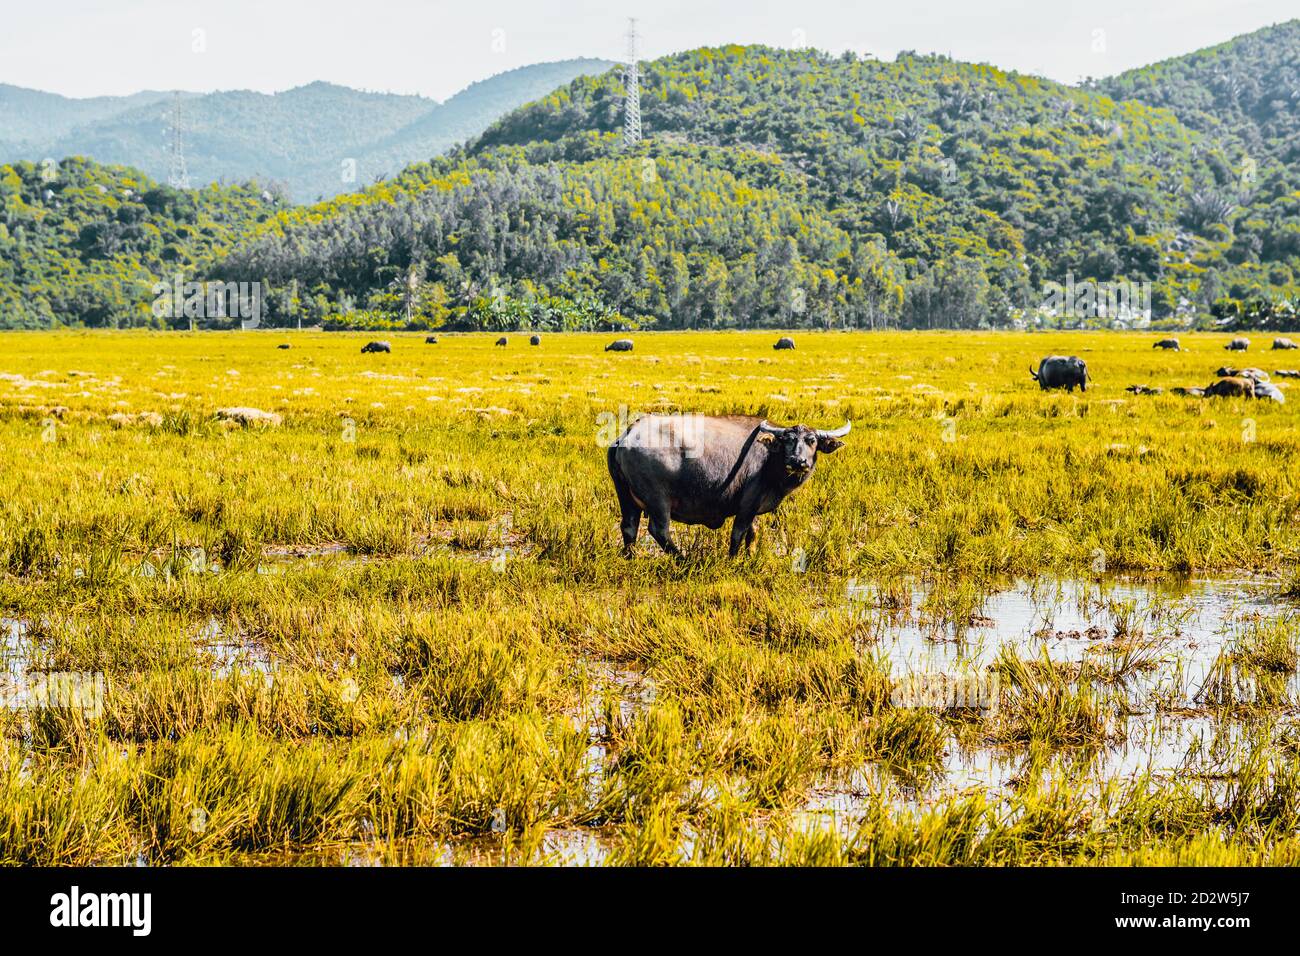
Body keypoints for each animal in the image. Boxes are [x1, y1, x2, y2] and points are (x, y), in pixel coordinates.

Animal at [607, 415, 850, 557]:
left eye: (811, 441)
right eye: (788, 440)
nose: (797, 461)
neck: (770, 458)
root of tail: (629, 433)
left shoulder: (753, 507)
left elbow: (753, 533)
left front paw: (750, 557)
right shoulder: (747, 504)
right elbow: (738, 533)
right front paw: (733, 559)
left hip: (626, 498)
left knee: (629, 527)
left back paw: (631, 557)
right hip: (659, 501)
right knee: (659, 530)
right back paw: (684, 560)